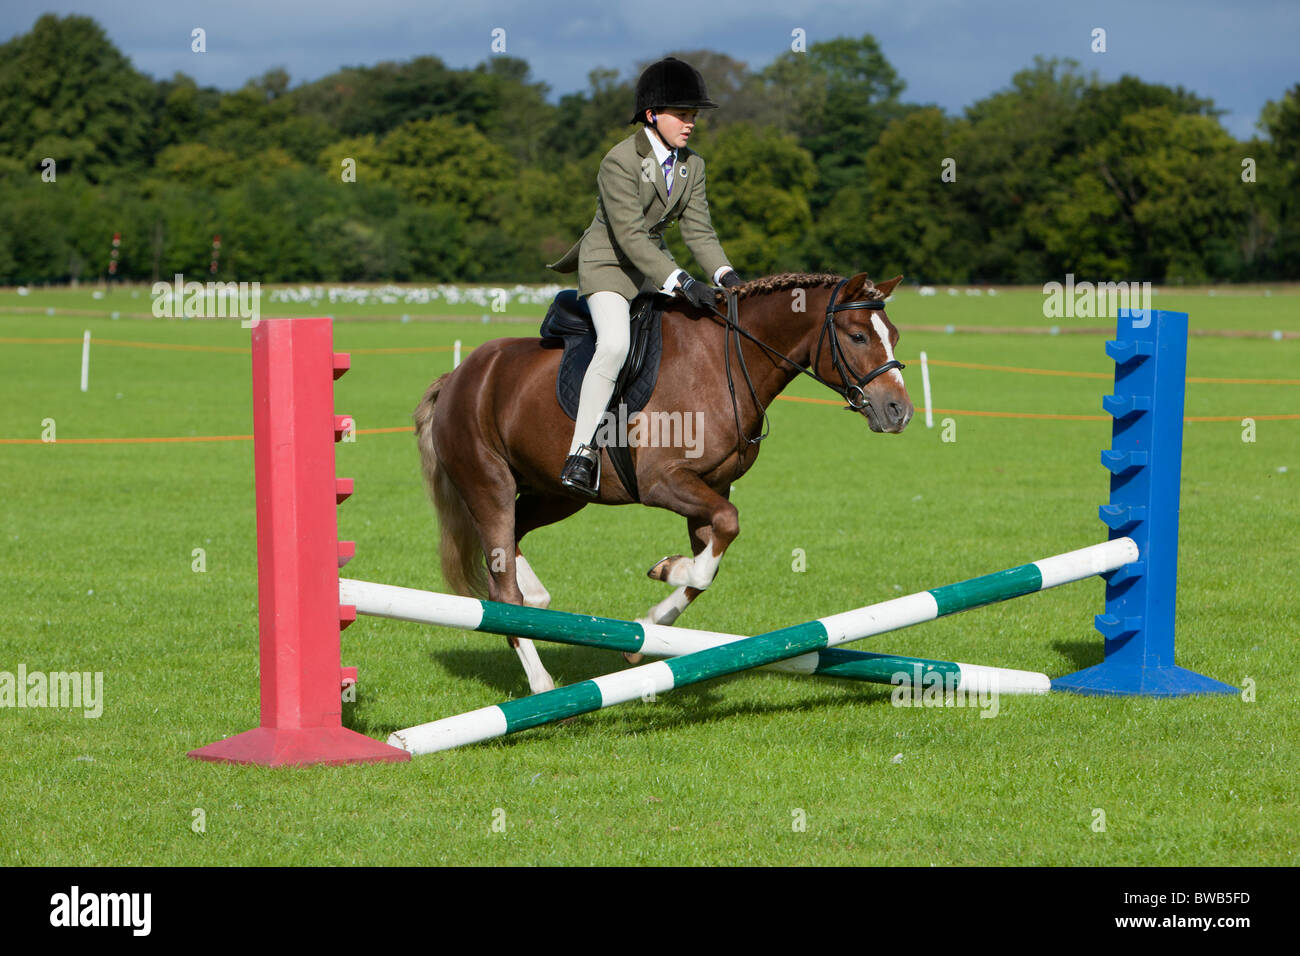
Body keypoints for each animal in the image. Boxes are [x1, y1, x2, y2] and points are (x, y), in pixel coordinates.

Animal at [413, 271, 914, 693]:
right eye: (858, 336)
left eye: (894, 336)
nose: (900, 412)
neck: (727, 362)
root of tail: (459, 375)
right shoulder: (662, 482)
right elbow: (723, 533)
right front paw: (667, 570)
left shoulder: (713, 486)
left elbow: (711, 561)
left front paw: (650, 627)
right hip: (489, 486)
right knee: (503, 587)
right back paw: (541, 684)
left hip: (559, 492)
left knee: (515, 540)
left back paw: (538, 597)